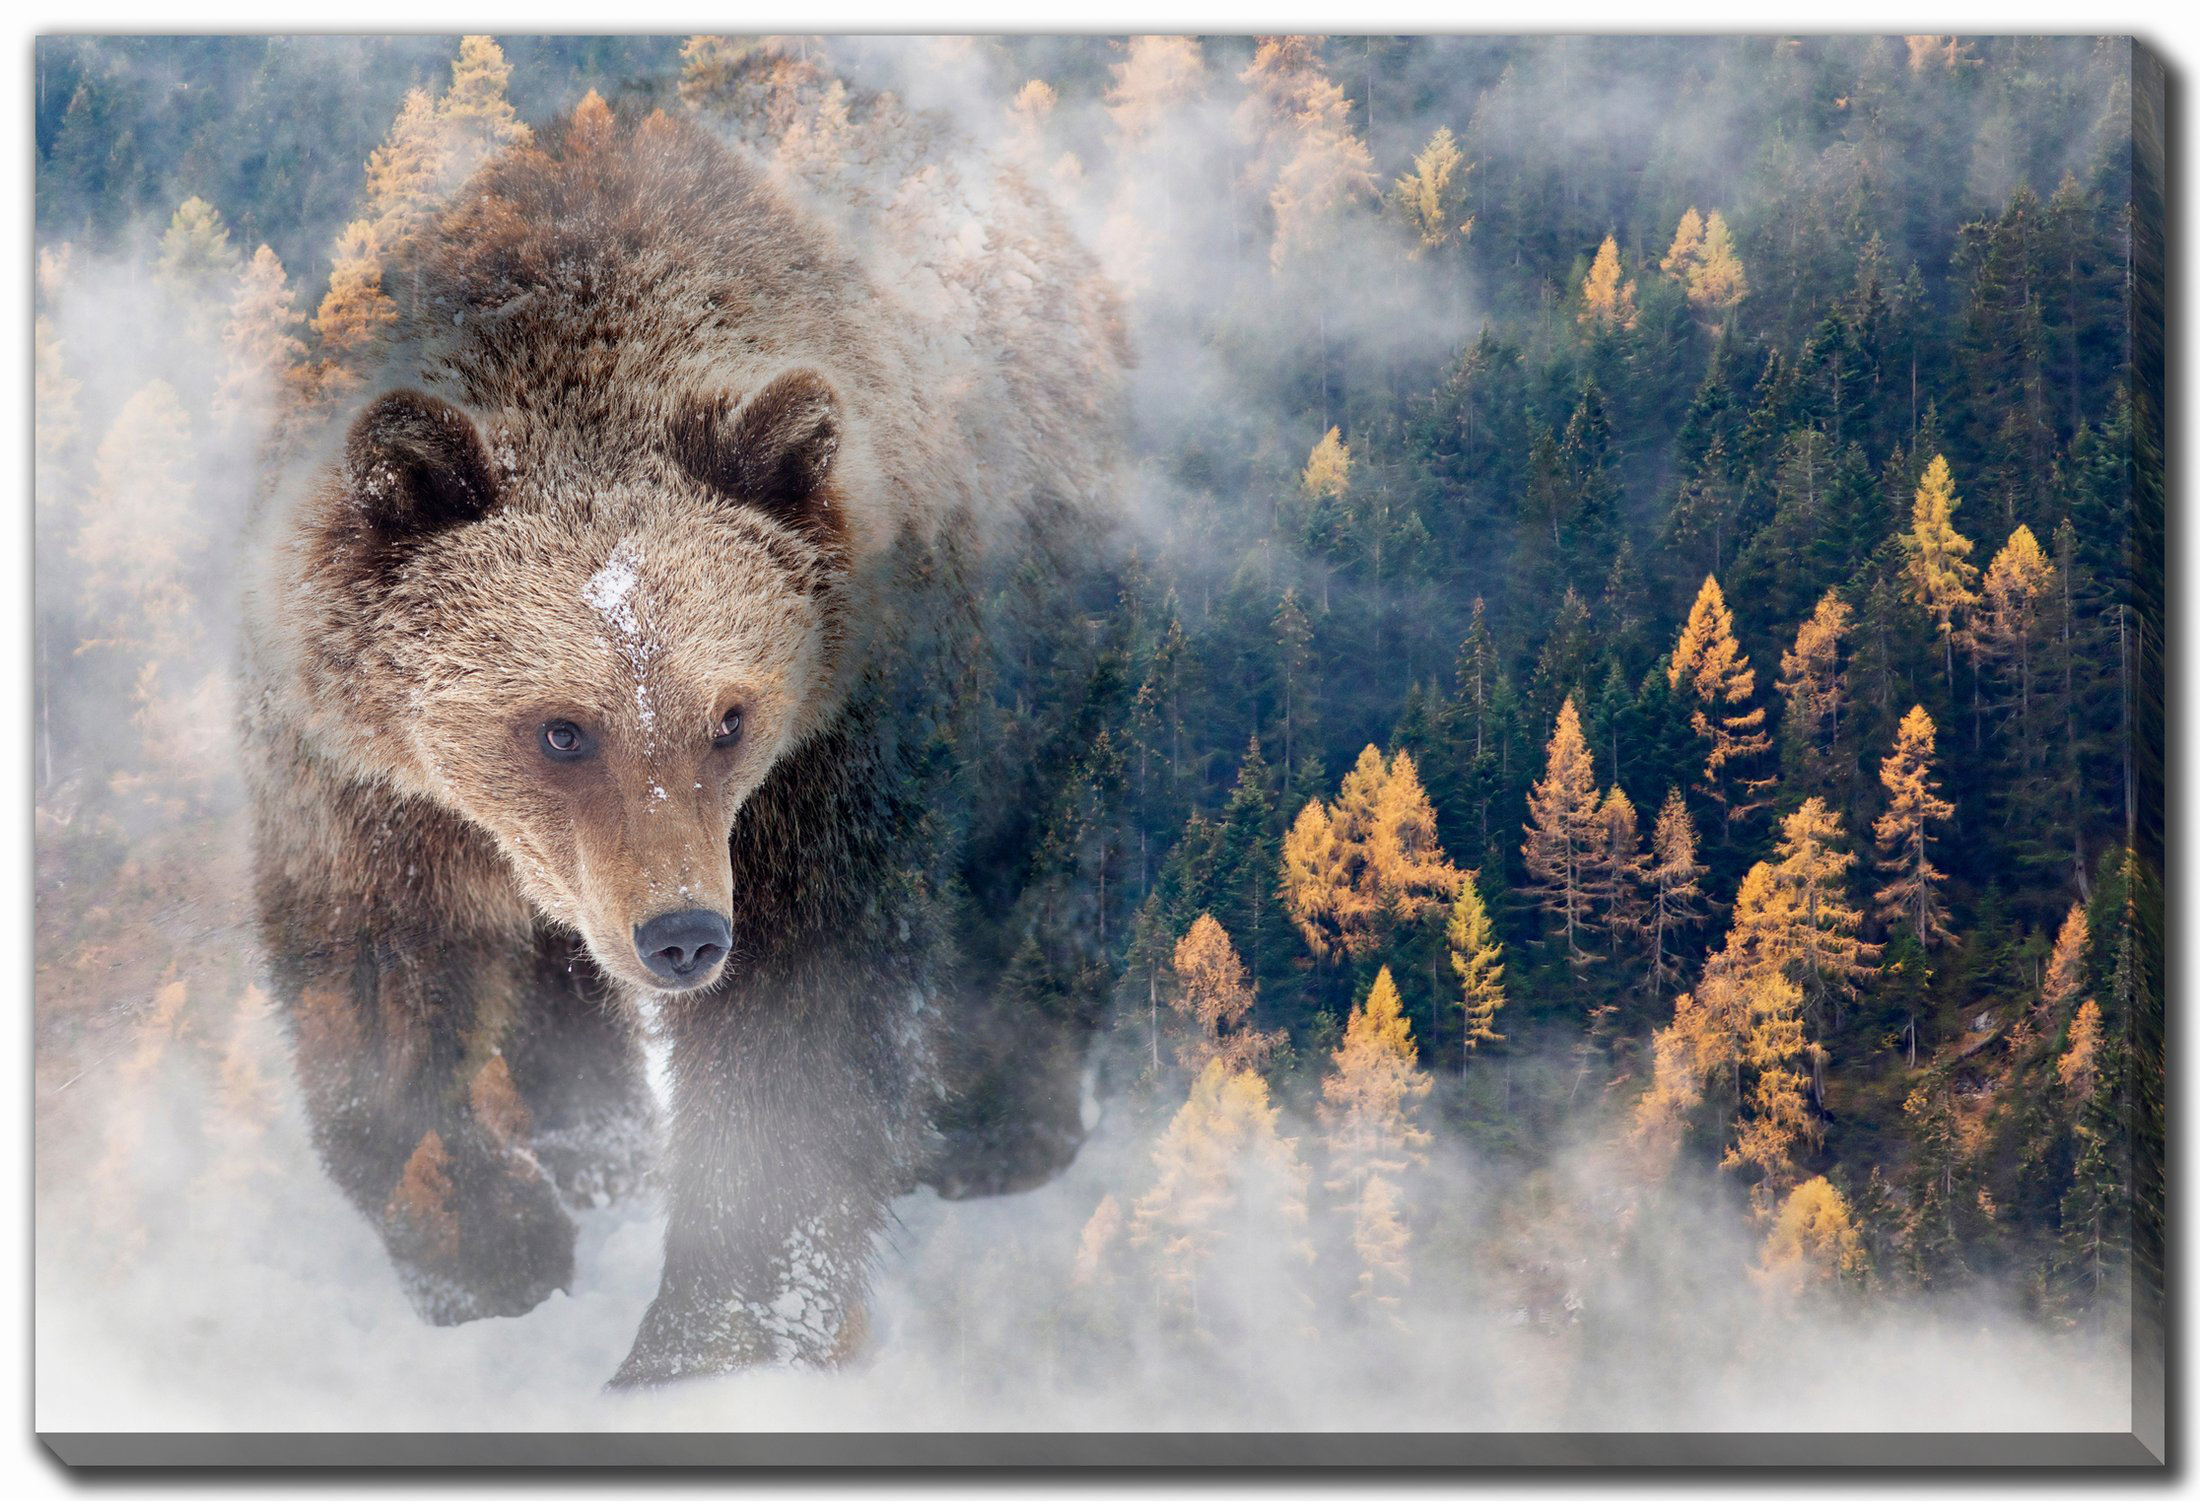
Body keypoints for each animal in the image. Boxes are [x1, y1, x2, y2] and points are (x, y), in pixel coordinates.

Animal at [236, 96, 1129, 1385]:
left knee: (1038, 849)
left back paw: (997, 1124)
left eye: (730, 716)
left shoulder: (825, 761)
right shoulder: (359, 779)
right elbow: (376, 997)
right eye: (561, 728)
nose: (682, 935)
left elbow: (795, 1033)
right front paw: (494, 1243)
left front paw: (711, 1339)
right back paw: (592, 1146)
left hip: (1044, 619)